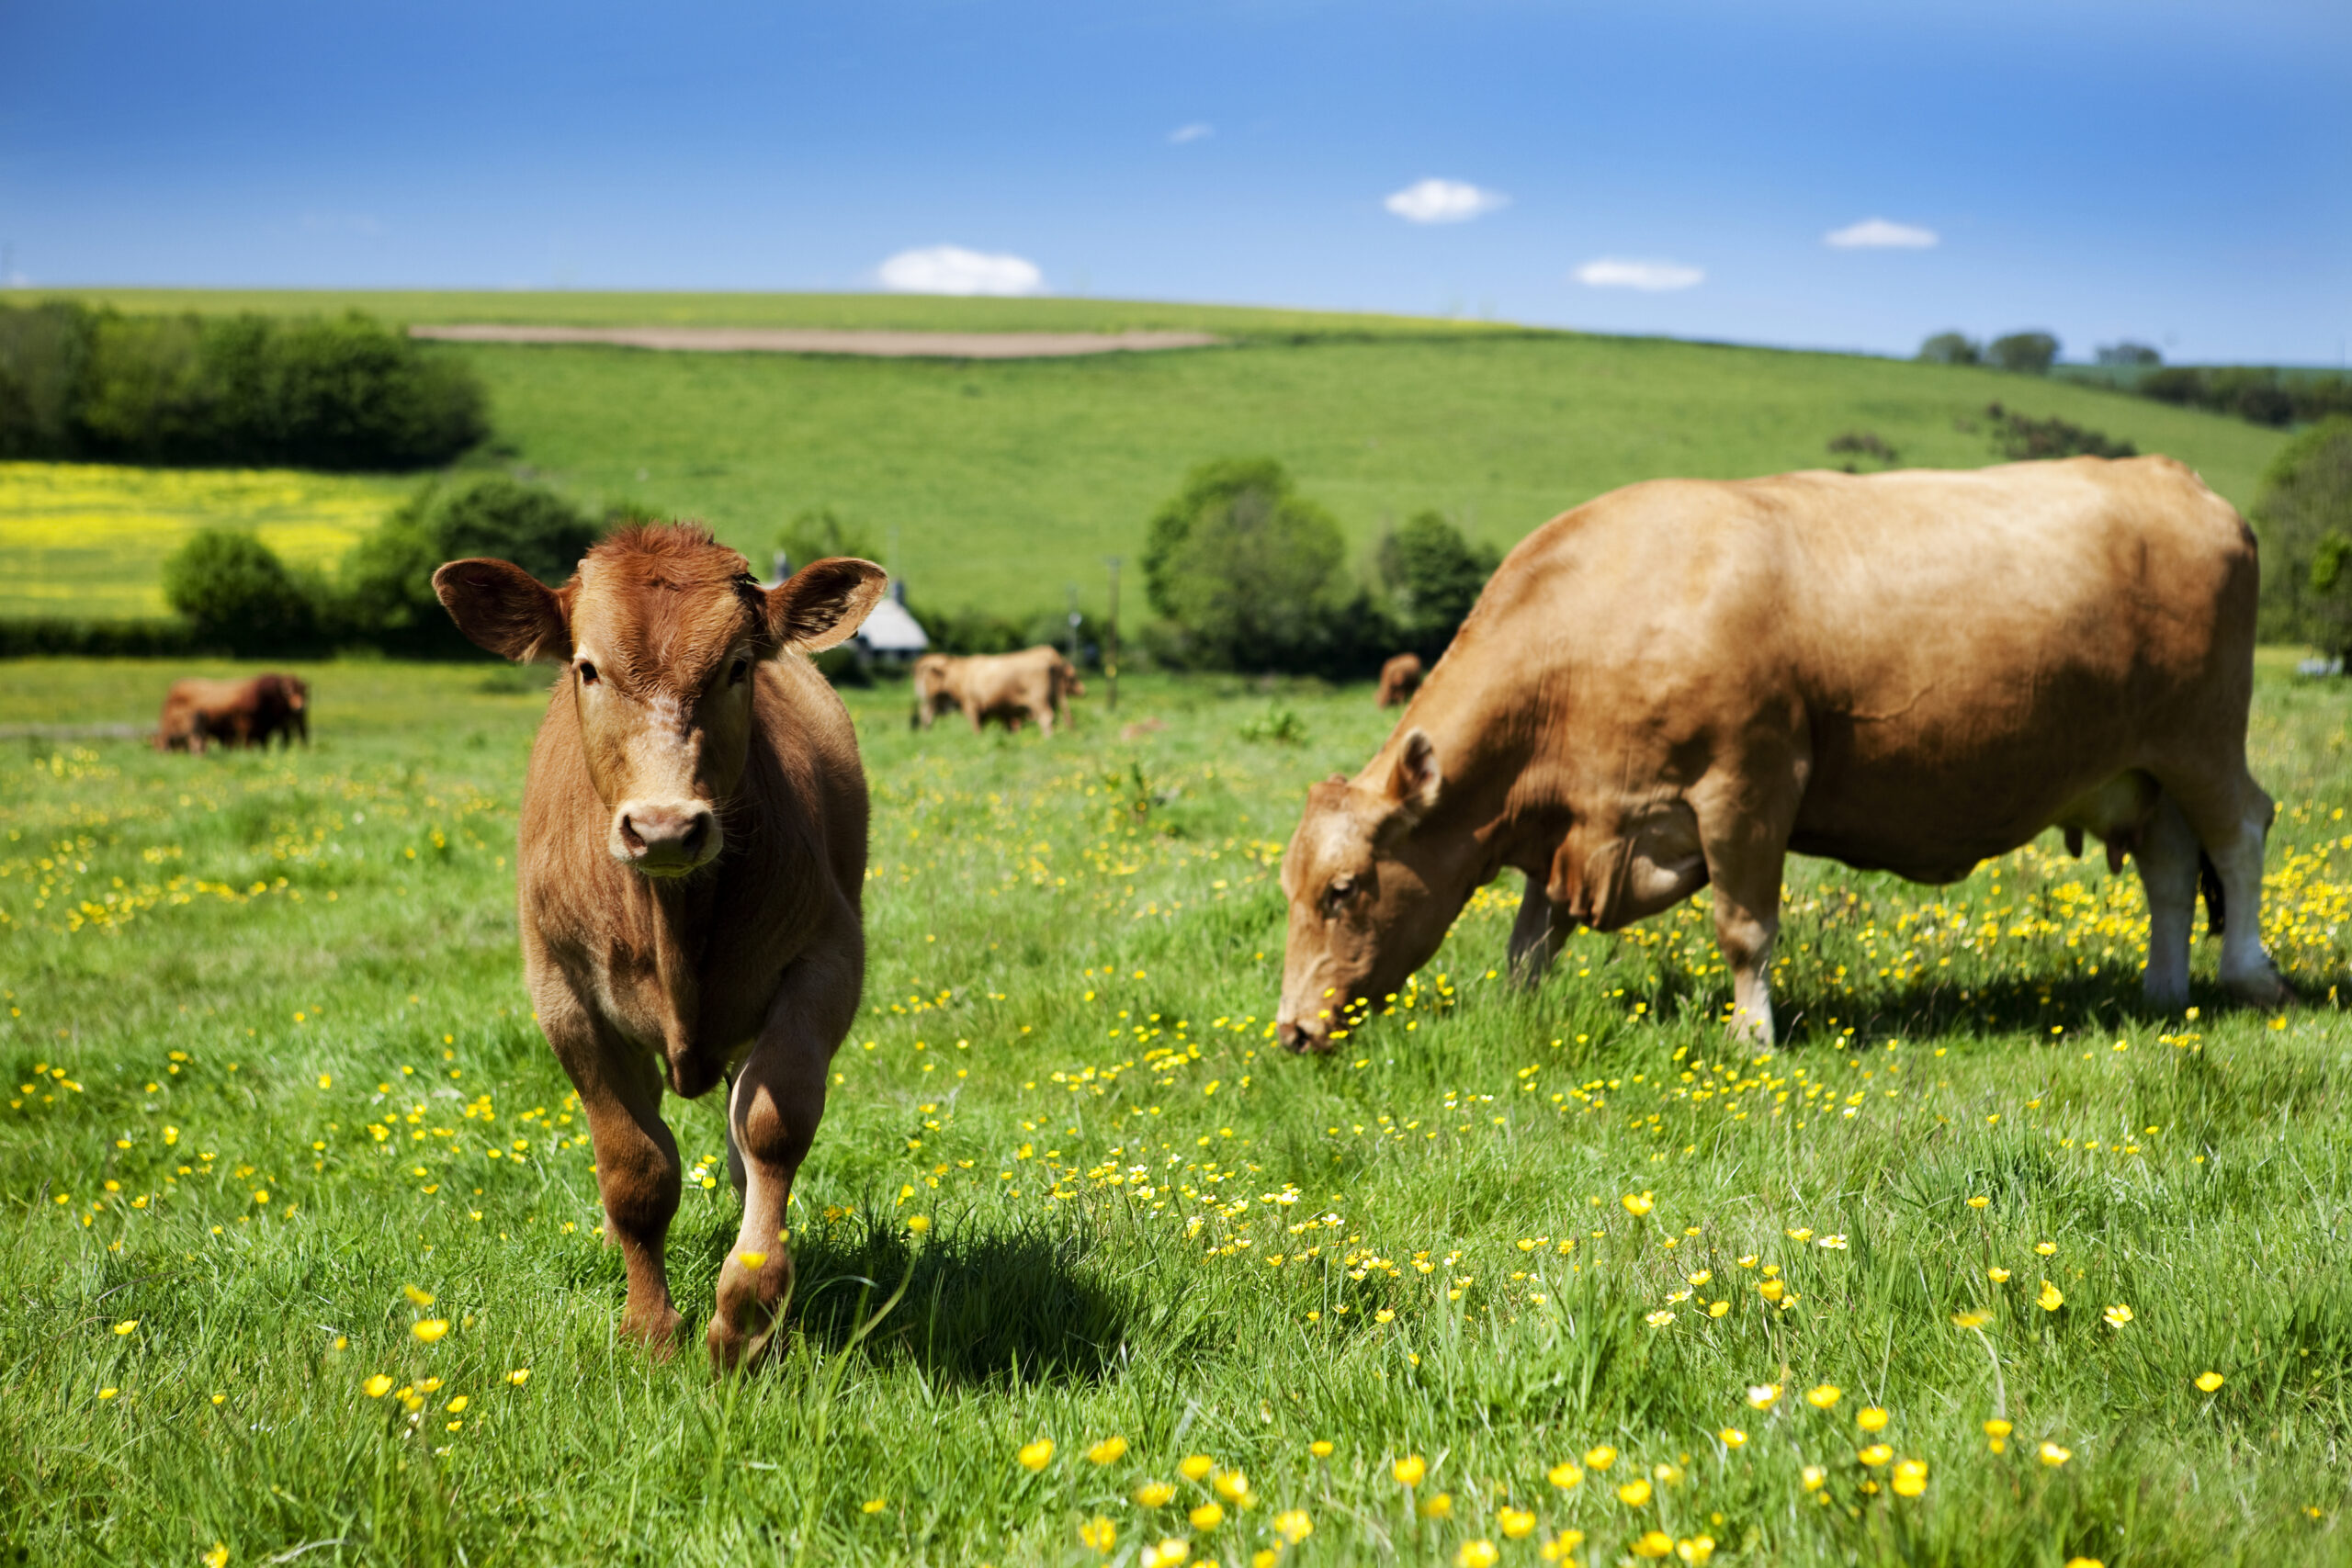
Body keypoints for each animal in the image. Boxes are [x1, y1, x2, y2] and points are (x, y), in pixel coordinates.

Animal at [431, 523, 886, 1370]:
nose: (666, 826)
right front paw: (649, 1328)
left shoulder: (826, 964)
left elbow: (771, 1125)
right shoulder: (565, 996)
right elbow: (636, 1169)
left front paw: (746, 1315)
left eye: (738, 666)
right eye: (588, 667)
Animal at [909, 646, 1084, 735]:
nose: (1084, 690)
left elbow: (976, 727)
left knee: (1046, 718)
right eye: (1073, 677)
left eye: (927, 678)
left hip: (1038, 699)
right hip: (1052, 698)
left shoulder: (971, 705)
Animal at [1274, 458, 2288, 1052]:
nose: (1290, 1031)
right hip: (2141, 771)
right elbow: (1531, 940)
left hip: (2203, 738)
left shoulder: (1746, 787)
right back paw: (2162, 991)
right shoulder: (1576, 822)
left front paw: (1753, 1036)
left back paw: (2246, 974)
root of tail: (2170, 474)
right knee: (2169, 868)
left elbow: (1744, 927)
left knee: (2241, 831)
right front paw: (1518, 1017)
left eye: (1344, 889)